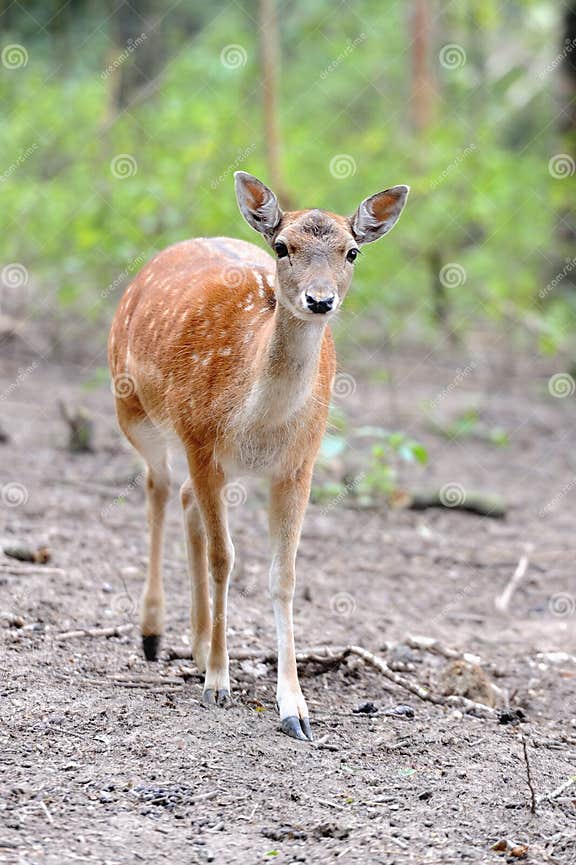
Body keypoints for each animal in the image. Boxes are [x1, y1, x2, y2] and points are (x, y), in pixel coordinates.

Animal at [108, 172, 409, 740]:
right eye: (282, 247)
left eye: (352, 251)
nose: (320, 299)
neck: (258, 421)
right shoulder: (201, 439)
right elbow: (225, 558)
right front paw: (218, 685)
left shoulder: (298, 464)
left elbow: (283, 574)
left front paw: (295, 709)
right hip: (133, 408)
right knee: (159, 487)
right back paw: (154, 636)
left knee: (184, 497)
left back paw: (199, 644)